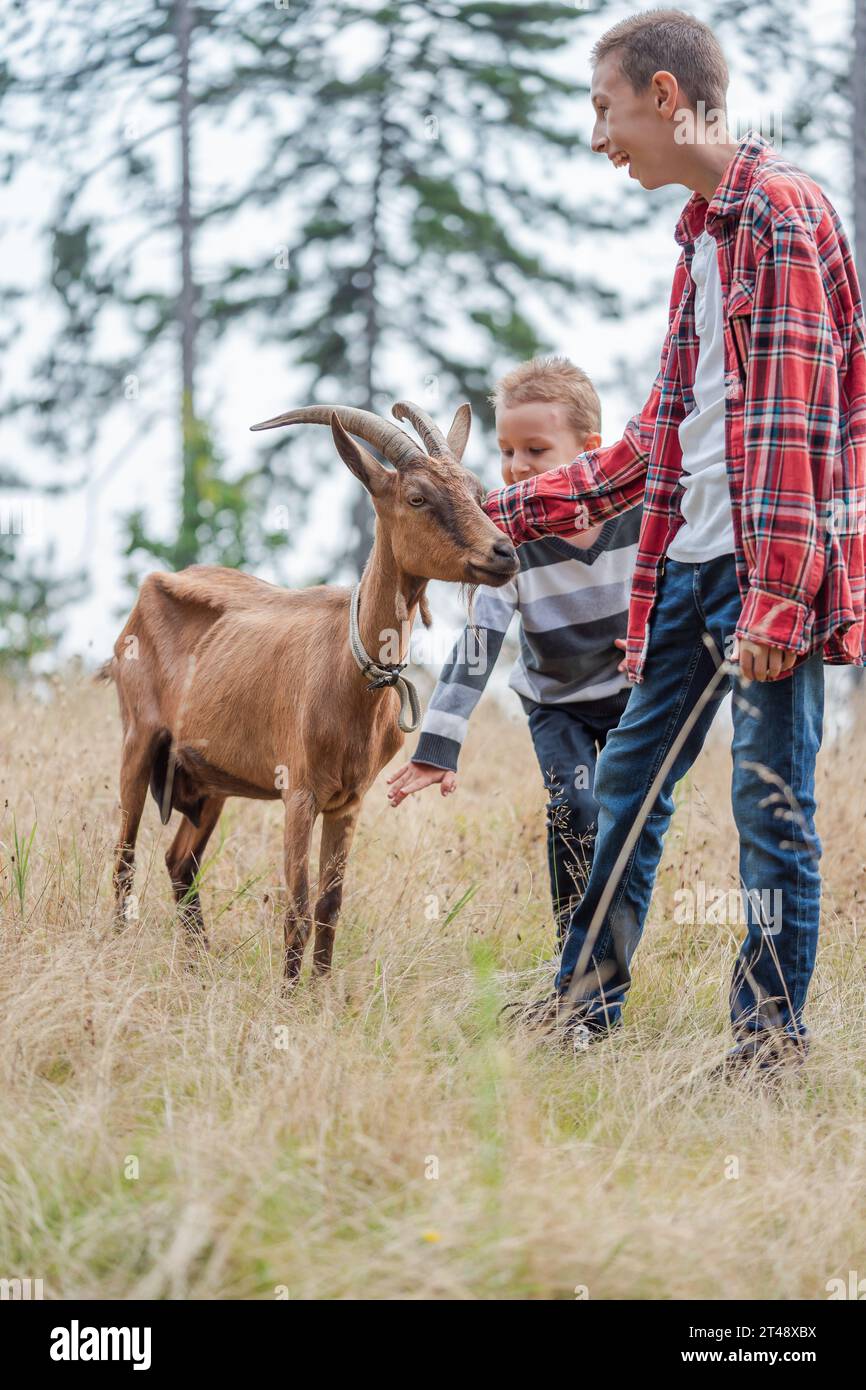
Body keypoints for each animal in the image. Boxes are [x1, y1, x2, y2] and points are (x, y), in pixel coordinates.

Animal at [101, 401, 518, 982]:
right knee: (124, 854)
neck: (351, 670)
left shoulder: (349, 802)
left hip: (208, 782)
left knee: (180, 860)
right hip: (138, 740)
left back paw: (201, 964)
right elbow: (297, 907)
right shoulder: (299, 792)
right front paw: (289, 995)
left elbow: (330, 905)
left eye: (478, 492)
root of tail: (151, 588)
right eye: (417, 497)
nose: (503, 554)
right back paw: (119, 946)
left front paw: (318, 991)